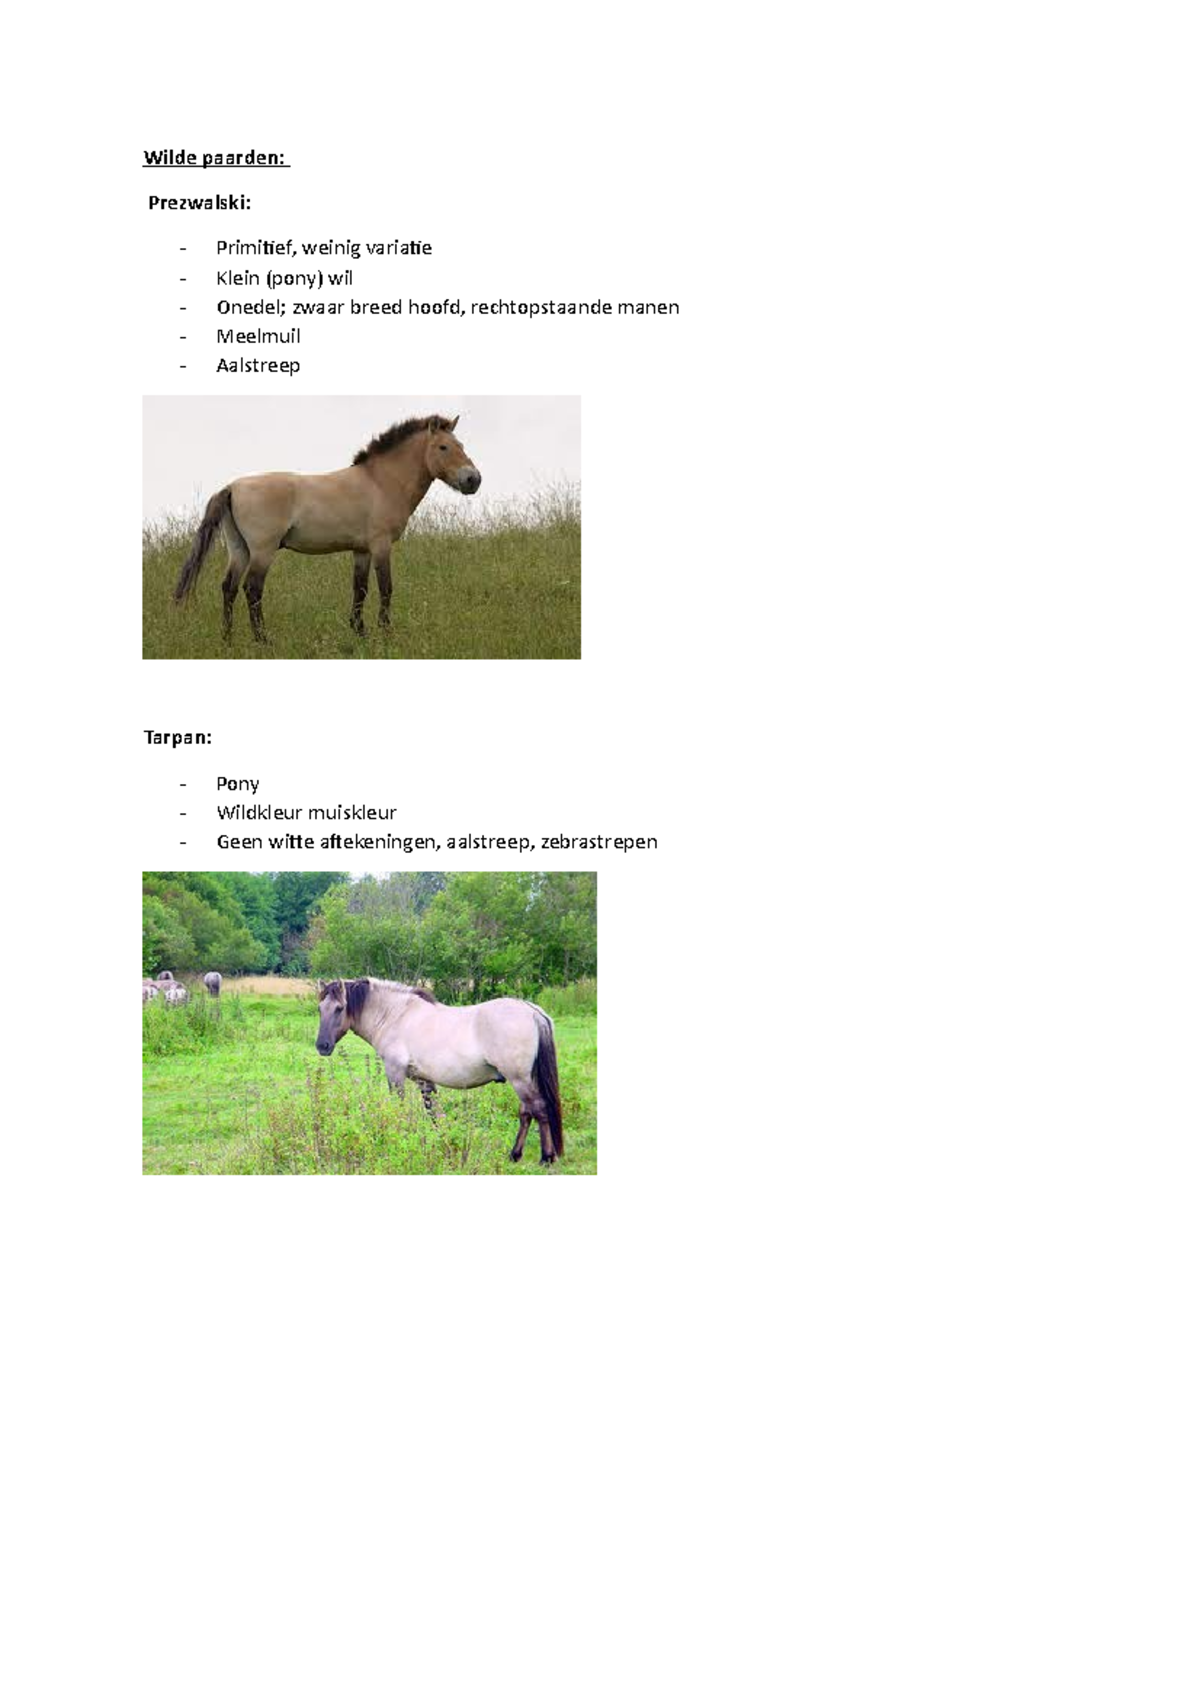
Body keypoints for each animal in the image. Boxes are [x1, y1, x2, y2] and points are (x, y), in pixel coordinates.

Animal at [173, 415, 482, 643]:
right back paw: (262, 639)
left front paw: (360, 631)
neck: (380, 482)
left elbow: (360, 589)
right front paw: (386, 632)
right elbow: (386, 588)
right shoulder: (381, 545)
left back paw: (228, 638)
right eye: (443, 447)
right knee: (252, 589)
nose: (473, 480)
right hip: (262, 551)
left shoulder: (361, 550)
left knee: (229, 588)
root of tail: (232, 487)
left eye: (462, 444)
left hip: (240, 550)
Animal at [315, 978, 564, 1165]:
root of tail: (533, 1011)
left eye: (339, 1009)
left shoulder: (395, 1073)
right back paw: (515, 1155)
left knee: (538, 1109)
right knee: (526, 1112)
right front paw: (442, 1143)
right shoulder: (424, 1079)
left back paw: (546, 1157)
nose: (322, 1046)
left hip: (519, 1079)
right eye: (320, 1009)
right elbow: (433, 1113)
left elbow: (399, 1108)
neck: (396, 1015)